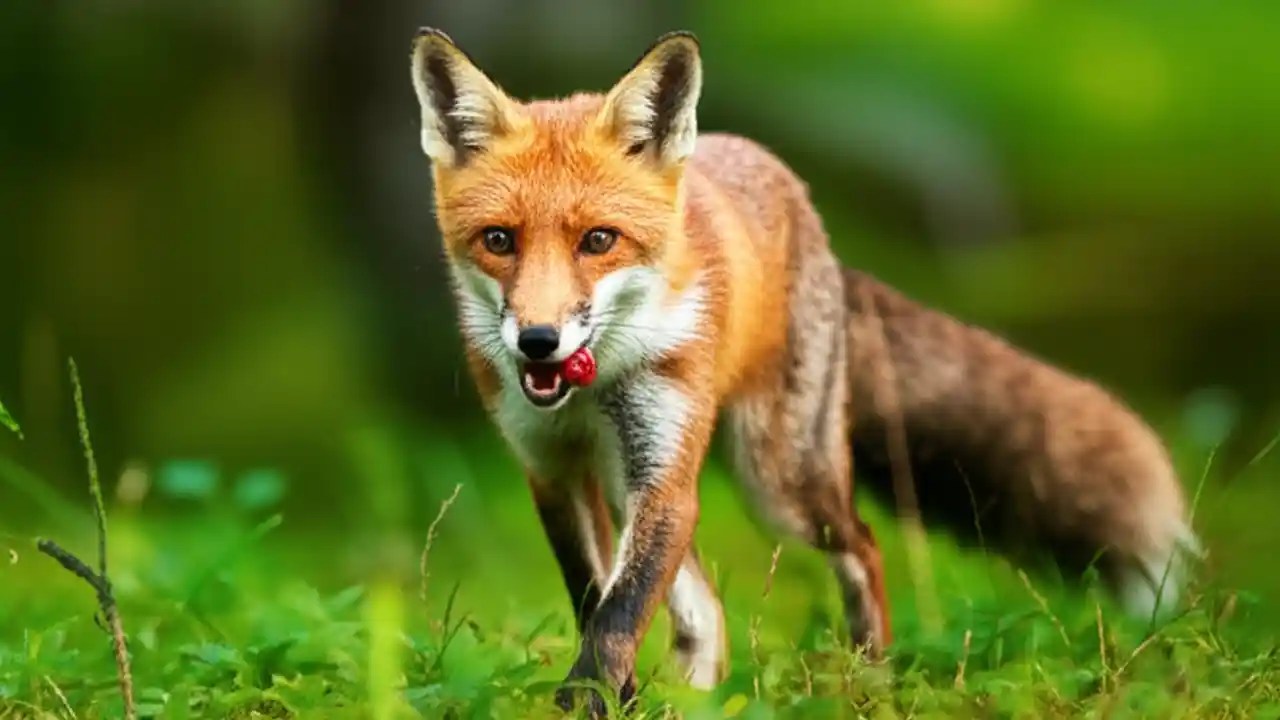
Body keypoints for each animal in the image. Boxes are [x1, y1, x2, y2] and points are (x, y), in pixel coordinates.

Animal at [407, 28, 1198, 713]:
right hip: (643, 479)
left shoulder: (663, 474)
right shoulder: (552, 469)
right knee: (707, 613)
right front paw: (615, 702)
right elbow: (595, 603)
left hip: (780, 478)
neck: (595, 383)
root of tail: (800, 199)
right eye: (498, 241)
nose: (538, 342)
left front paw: (590, 702)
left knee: (863, 547)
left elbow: (617, 616)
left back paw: (871, 682)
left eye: (599, 240)